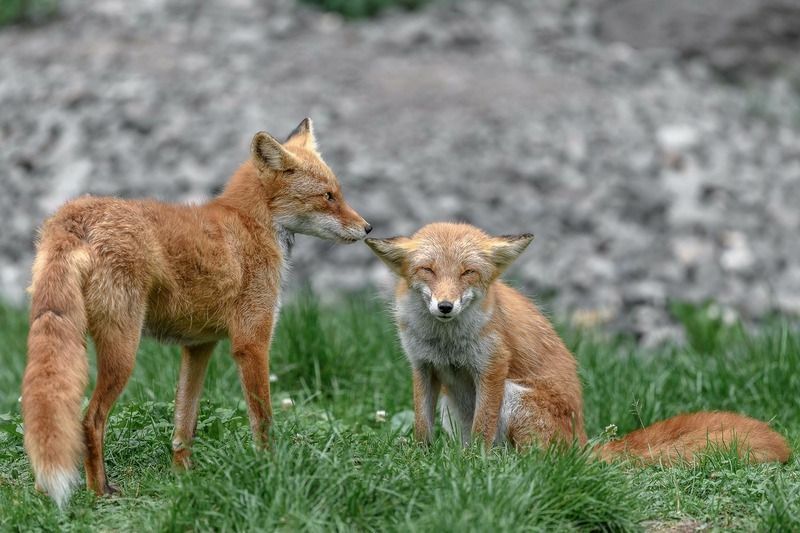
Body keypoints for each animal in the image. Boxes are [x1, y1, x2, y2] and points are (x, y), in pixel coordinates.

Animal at [21, 118, 372, 504]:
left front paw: (183, 477)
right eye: (328, 196)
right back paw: (100, 492)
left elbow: (184, 423)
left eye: (338, 193)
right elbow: (262, 420)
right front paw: (270, 470)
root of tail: (72, 216)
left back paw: (44, 492)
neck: (251, 225)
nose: (368, 228)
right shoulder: (251, 342)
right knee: (89, 420)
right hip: (123, 351)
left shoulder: (198, 345)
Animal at [366, 222, 792, 464]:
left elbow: (484, 430)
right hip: (454, 411)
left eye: (468, 273)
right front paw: (422, 463)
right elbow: (421, 425)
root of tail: (583, 444)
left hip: (515, 397)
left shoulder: (492, 367)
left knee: (538, 462)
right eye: (428, 270)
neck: (446, 342)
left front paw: (473, 470)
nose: (445, 306)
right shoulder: (423, 366)